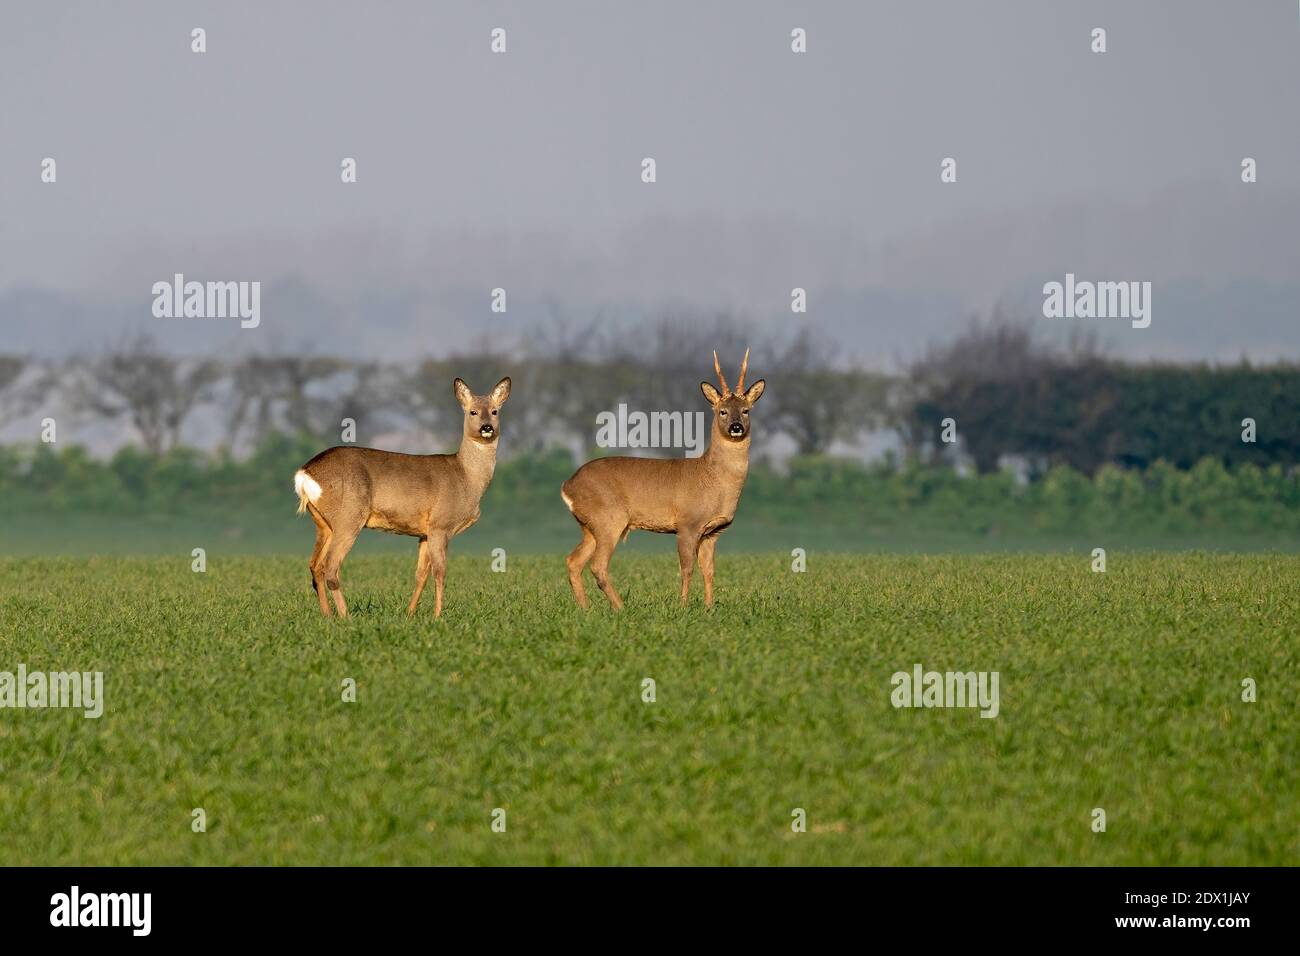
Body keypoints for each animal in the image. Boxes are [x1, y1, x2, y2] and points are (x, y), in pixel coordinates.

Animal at [292, 376, 511, 619]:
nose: (486, 427)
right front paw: (438, 616)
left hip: (324, 523)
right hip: (348, 517)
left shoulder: (424, 533)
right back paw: (346, 616)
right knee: (330, 568)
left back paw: (328, 616)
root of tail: (304, 473)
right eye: (473, 412)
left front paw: (409, 614)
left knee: (315, 566)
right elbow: (440, 572)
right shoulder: (440, 525)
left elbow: (420, 575)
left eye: (494, 411)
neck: (466, 477)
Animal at [560, 349, 765, 610]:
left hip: (589, 526)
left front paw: (708, 608)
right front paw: (683, 606)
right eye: (723, 411)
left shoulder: (712, 532)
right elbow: (686, 569)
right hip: (608, 518)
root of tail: (568, 485)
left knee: (574, 561)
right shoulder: (687, 524)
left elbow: (709, 570)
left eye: (746, 410)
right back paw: (620, 608)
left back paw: (585, 609)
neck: (712, 478)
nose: (736, 427)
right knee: (597, 565)